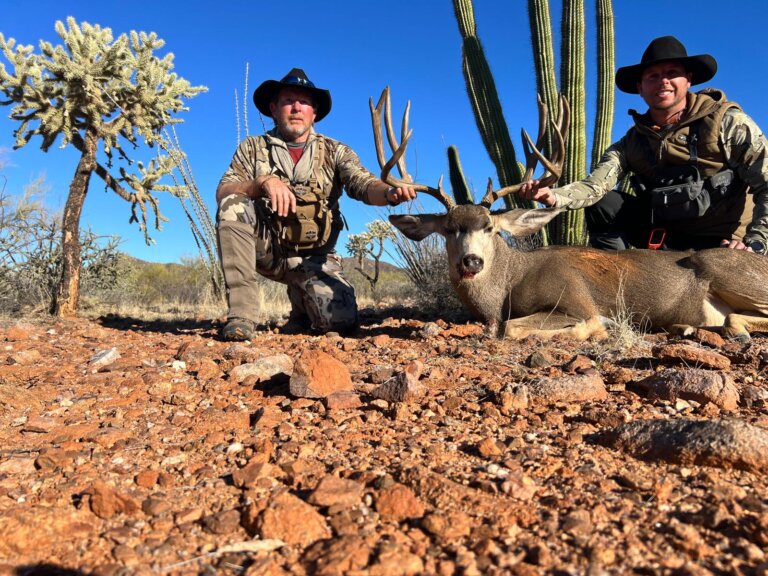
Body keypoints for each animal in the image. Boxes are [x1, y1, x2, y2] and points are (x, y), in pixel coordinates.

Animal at [369, 87, 768, 341]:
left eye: (490, 228)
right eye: (449, 229)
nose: (471, 261)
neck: (507, 288)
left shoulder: (577, 299)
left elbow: (514, 328)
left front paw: (598, 329)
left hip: (727, 271)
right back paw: (688, 327)